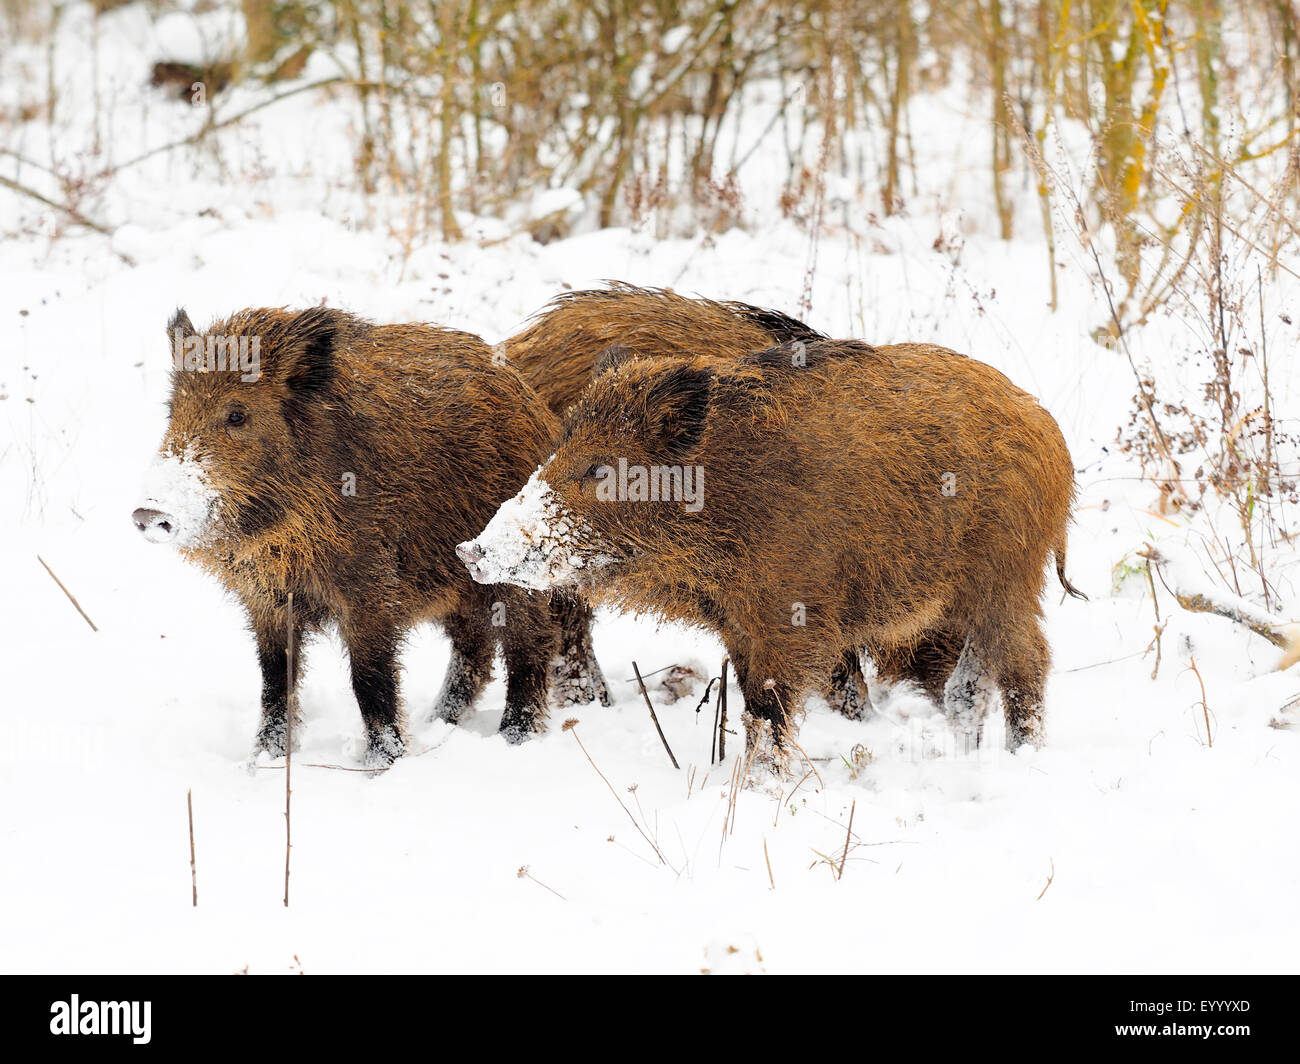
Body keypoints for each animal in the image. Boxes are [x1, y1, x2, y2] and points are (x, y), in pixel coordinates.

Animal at [133, 305, 605, 766]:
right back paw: (440, 723)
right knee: (475, 647)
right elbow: (274, 680)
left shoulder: (369, 588)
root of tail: (536, 408)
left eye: (237, 414)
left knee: (531, 643)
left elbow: (370, 678)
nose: (146, 513)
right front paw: (263, 761)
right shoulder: (267, 599)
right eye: (173, 410)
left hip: (509, 571)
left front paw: (384, 765)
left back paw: (514, 737)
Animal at [458, 338, 1085, 773]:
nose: (471, 551)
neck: (721, 497)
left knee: (1027, 662)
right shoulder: (738, 624)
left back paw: (1023, 757)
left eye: (598, 467)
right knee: (969, 685)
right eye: (558, 448)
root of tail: (1048, 428)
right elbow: (755, 704)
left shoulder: (787, 616)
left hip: (1005, 579)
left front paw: (761, 787)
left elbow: (773, 706)